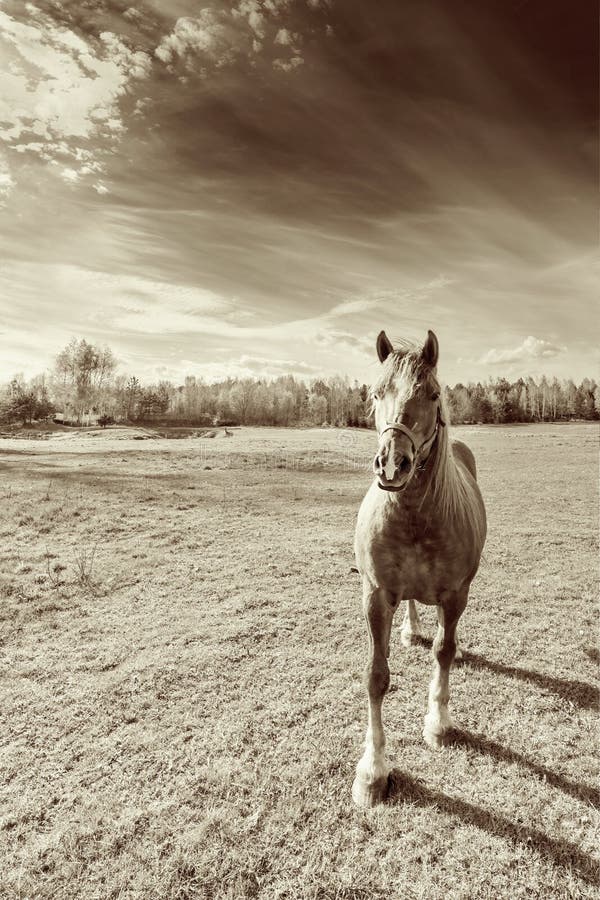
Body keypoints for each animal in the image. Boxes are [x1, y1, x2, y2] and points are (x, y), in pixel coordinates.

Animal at [352, 329, 486, 807]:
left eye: (431, 394)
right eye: (376, 393)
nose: (393, 463)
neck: (412, 514)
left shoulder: (456, 593)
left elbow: (443, 650)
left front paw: (438, 723)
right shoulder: (376, 597)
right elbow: (376, 678)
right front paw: (373, 770)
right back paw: (410, 630)